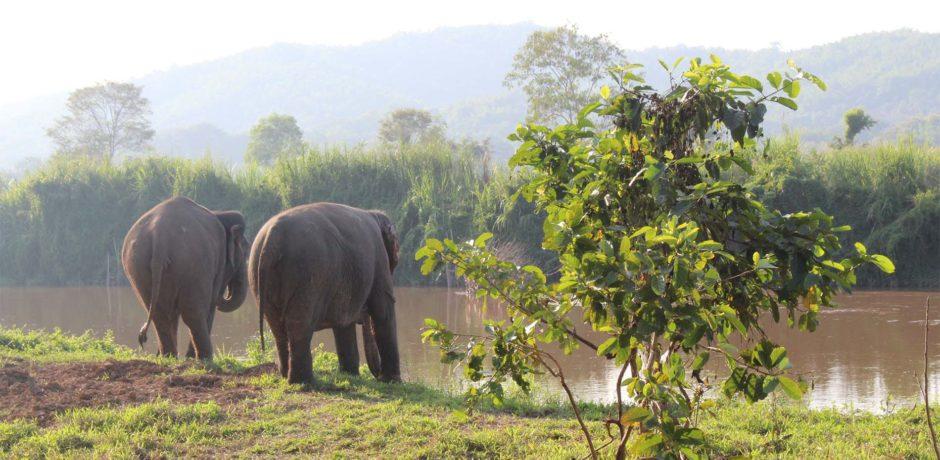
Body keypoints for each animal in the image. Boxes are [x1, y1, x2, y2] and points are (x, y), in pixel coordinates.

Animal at [122, 196, 249, 360]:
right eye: (246, 250)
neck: (219, 213)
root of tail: (160, 235)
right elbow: (211, 302)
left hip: (138, 265)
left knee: (159, 313)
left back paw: (168, 356)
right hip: (193, 265)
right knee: (193, 314)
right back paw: (204, 358)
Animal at [248, 202, 400, 384]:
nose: (377, 376)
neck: (374, 214)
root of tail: (272, 239)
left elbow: (344, 323)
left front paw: (349, 375)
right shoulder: (379, 259)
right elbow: (383, 309)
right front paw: (392, 381)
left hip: (258, 280)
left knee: (277, 327)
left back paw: (286, 376)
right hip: (307, 277)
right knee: (299, 326)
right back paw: (304, 382)